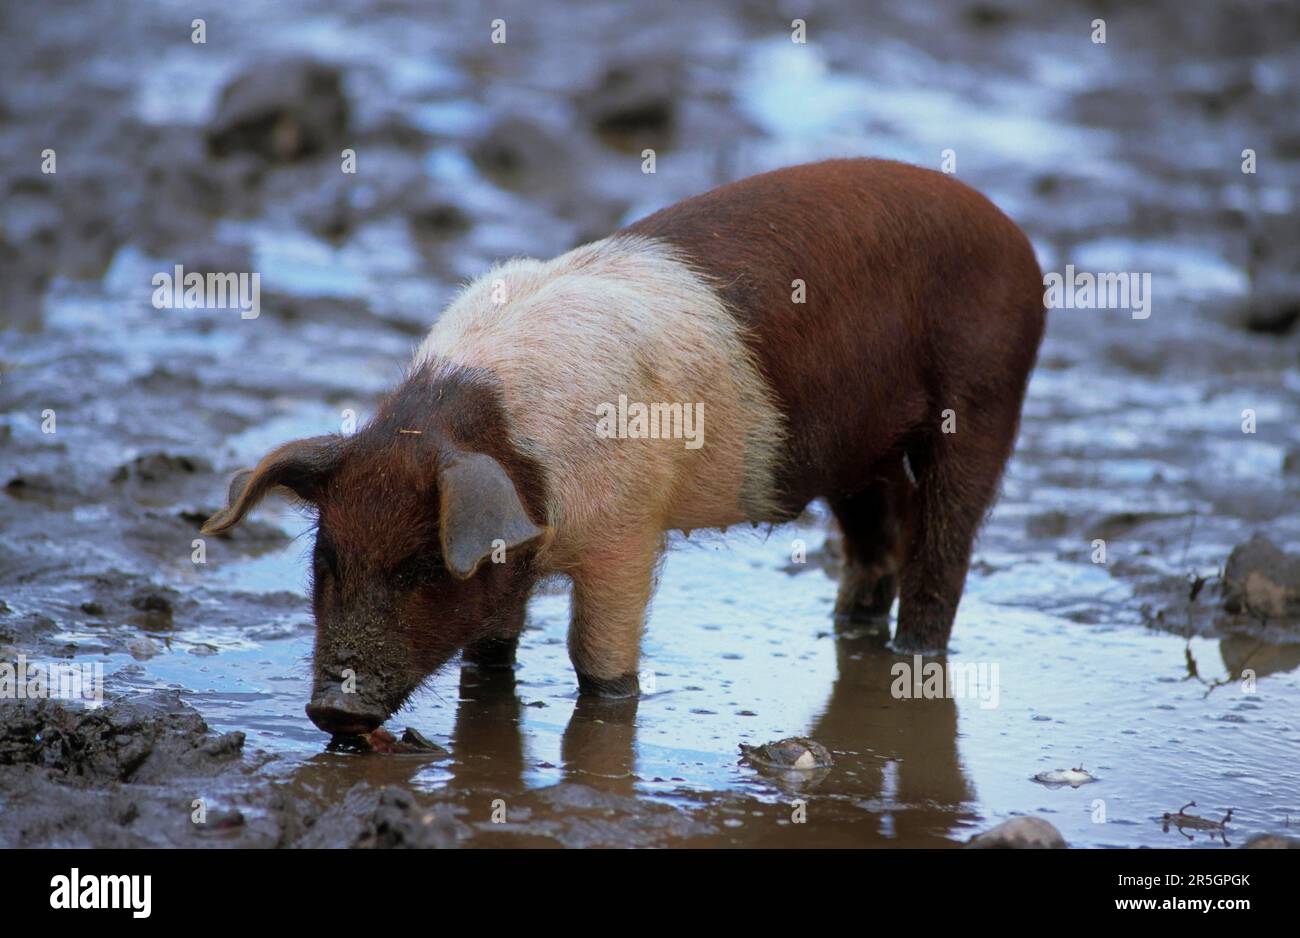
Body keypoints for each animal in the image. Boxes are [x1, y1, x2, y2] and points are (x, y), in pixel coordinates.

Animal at [201, 158, 1045, 735]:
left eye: (419, 568)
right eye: (326, 561)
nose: (333, 710)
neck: (502, 439)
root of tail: (1013, 235)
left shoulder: (627, 533)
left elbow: (597, 659)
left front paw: (608, 710)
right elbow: (491, 648)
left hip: (985, 389)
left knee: (946, 542)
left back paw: (911, 656)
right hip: (859, 448)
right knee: (881, 529)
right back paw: (852, 631)